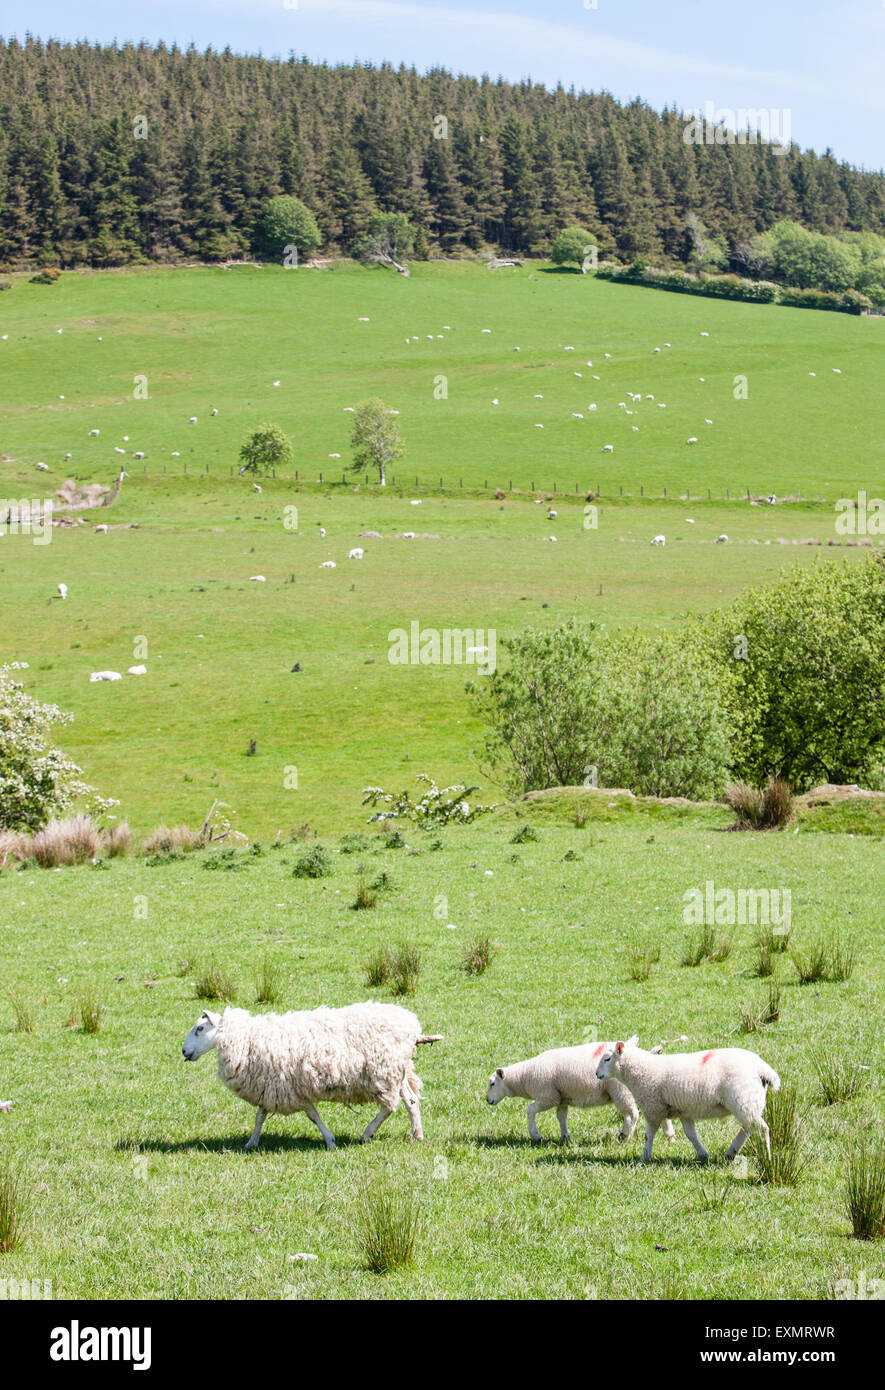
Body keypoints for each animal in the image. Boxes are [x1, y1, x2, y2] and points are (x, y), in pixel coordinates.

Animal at [181, 1003, 443, 1150]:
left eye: (200, 1029)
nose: (183, 1051)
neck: (246, 1039)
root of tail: (411, 1028)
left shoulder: (287, 1086)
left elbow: (312, 1115)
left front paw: (330, 1140)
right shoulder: (273, 1086)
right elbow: (260, 1116)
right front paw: (251, 1143)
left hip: (383, 1073)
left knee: (389, 1107)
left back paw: (367, 1134)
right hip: (395, 1072)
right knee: (411, 1101)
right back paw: (417, 1135)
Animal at [486, 1039, 675, 1145]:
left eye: (493, 1083)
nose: (487, 1100)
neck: (524, 1077)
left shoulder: (547, 1096)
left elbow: (530, 1110)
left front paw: (536, 1135)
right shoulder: (561, 1098)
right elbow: (561, 1117)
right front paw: (565, 1137)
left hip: (622, 1091)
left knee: (632, 1114)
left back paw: (624, 1135)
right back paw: (670, 1137)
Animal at [595, 1038, 781, 1163]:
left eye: (607, 1059)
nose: (597, 1074)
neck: (641, 1070)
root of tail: (763, 1069)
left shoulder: (653, 1107)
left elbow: (649, 1135)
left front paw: (645, 1157)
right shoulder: (684, 1111)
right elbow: (691, 1135)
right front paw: (702, 1154)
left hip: (743, 1100)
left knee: (761, 1128)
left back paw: (767, 1157)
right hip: (747, 1103)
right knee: (749, 1127)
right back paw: (731, 1152)